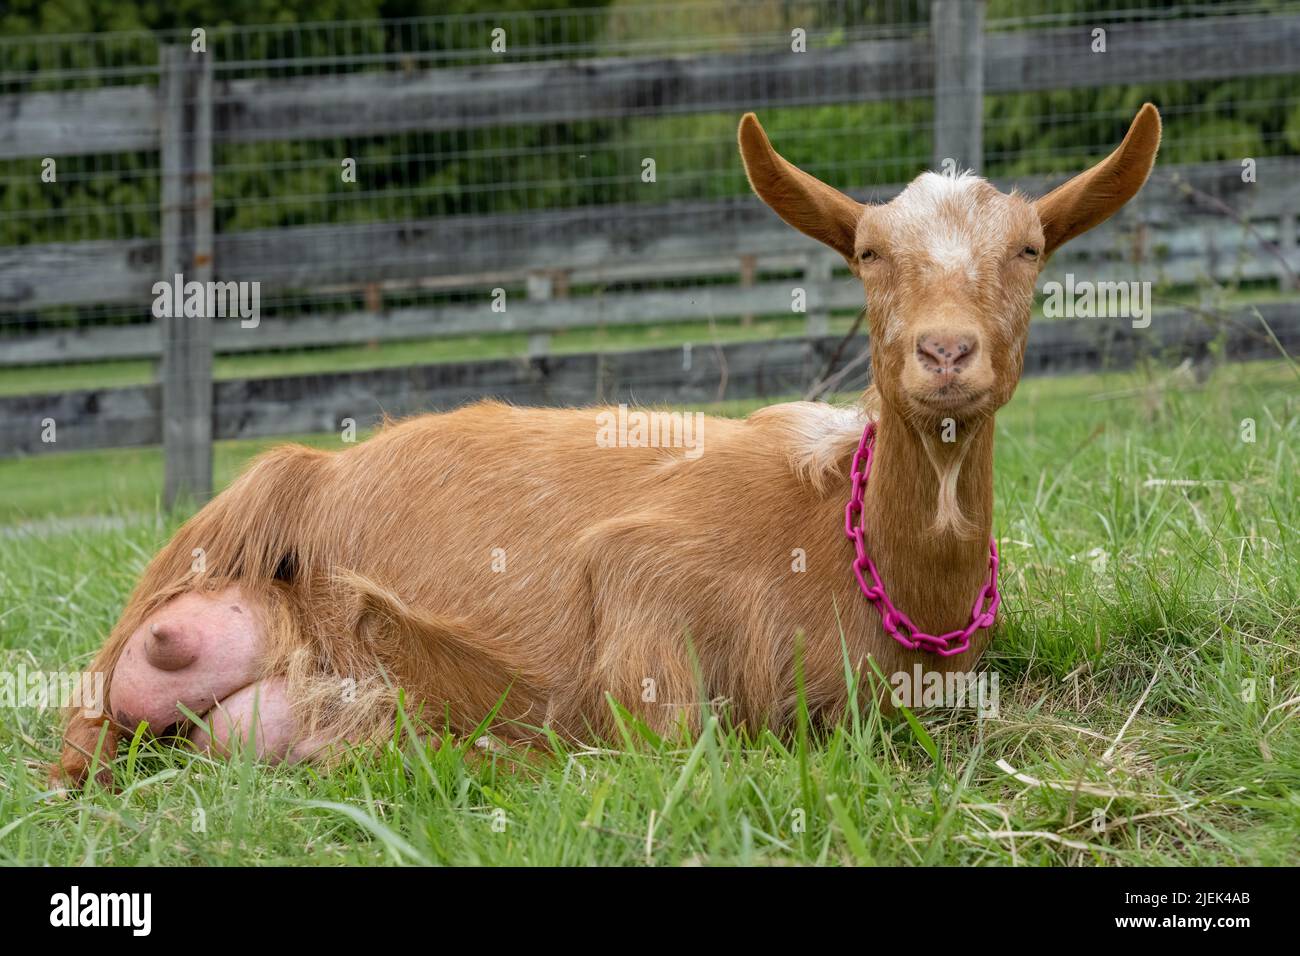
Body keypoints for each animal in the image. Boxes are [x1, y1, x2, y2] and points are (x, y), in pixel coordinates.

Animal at [55, 104, 1162, 784]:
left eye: (1029, 249)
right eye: (867, 252)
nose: (945, 351)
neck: (857, 556)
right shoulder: (639, 572)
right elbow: (672, 738)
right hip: (226, 522)